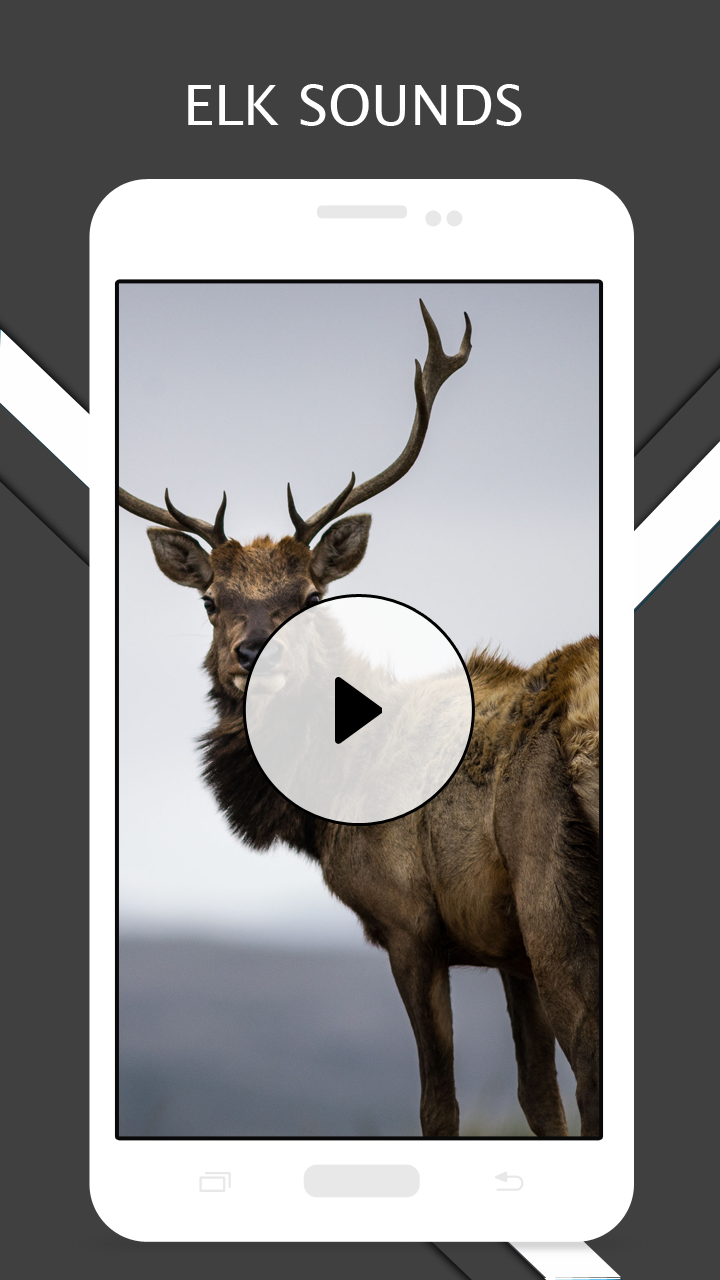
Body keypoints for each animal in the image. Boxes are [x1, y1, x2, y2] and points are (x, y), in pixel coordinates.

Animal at [120, 301, 600, 1139]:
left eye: (311, 594)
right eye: (211, 599)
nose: (253, 652)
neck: (324, 807)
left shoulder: (411, 926)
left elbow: (439, 1108)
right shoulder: (503, 948)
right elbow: (541, 1103)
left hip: (558, 908)